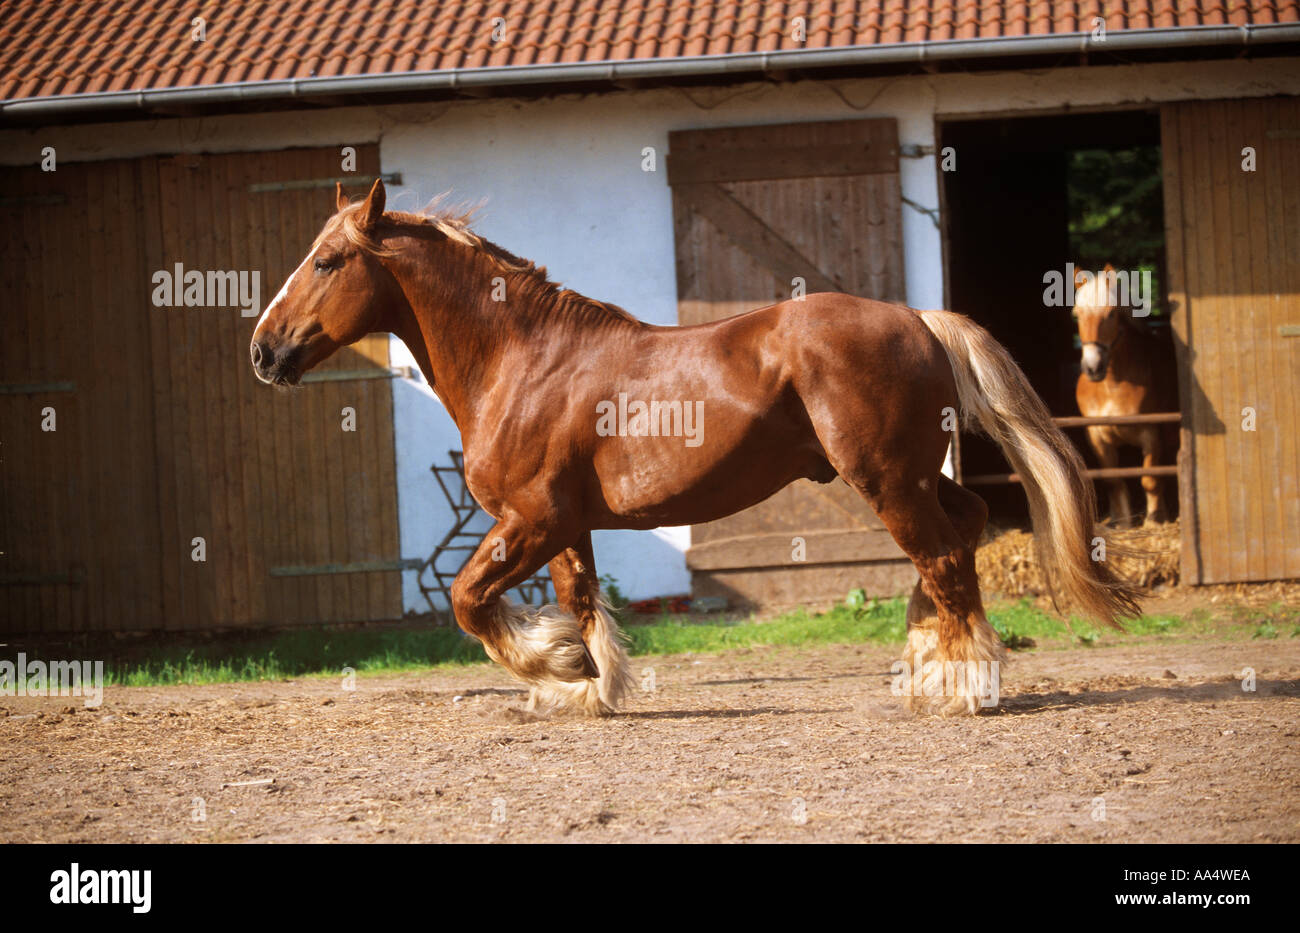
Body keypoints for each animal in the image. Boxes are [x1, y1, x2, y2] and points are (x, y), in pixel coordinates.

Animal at [250, 179, 1140, 717]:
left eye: (327, 261)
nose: (263, 350)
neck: (523, 361)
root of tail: (918, 318)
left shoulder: (529, 519)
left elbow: (471, 600)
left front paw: (558, 667)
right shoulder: (564, 525)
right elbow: (581, 600)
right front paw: (589, 686)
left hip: (888, 479)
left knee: (948, 559)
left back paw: (963, 685)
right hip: (917, 476)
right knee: (968, 526)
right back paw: (931, 660)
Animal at [1073, 264, 1179, 526]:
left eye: (1111, 314)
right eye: (1077, 314)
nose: (1092, 368)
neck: (1111, 387)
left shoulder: (1151, 435)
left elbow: (1150, 478)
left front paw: (1154, 519)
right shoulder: (1097, 437)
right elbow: (1113, 479)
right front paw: (1122, 521)